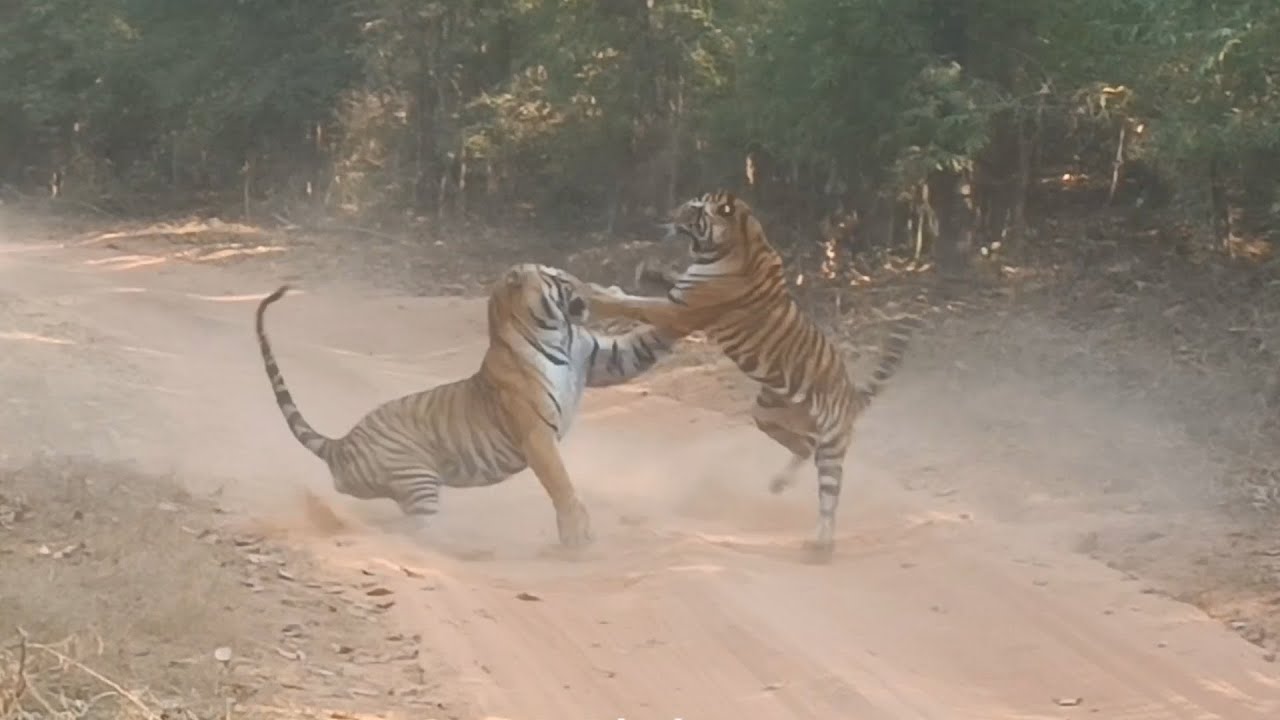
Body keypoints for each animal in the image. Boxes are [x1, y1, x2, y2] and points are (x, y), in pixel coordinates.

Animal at [255, 263, 679, 549]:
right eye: (560, 277)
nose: (591, 288)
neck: (558, 332)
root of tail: (340, 443)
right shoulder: (536, 433)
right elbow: (561, 483)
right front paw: (577, 535)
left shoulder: (606, 360)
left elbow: (651, 339)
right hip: (417, 478)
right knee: (418, 534)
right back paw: (466, 548)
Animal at [580, 191, 922, 562]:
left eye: (695, 208)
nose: (670, 212)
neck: (737, 241)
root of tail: (852, 395)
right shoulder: (679, 300)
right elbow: (649, 288)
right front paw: (637, 277)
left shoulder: (680, 311)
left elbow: (633, 304)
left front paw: (595, 292)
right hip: (767, 414)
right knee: (805, 447)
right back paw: (780, 484)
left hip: (830, 446)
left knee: (829, 497)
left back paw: (821, 546)